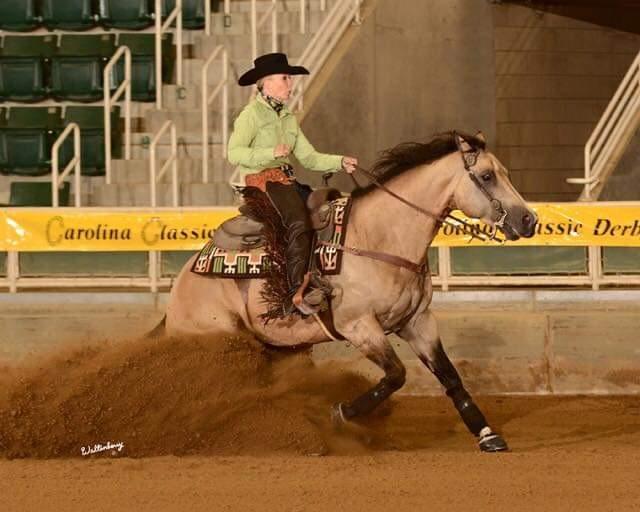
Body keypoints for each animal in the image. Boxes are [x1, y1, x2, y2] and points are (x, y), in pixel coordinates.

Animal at [160, 131, 537, 452]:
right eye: (486, 176)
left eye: (503, 172)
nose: (529, 220)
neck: (378, 237)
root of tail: (182, 282)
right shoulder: (358, 326)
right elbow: (396, 375)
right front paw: (340, 414)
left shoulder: (418, 321)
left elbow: (451, 377)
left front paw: (487, 435)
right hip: (217, 343)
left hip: (278, 347)